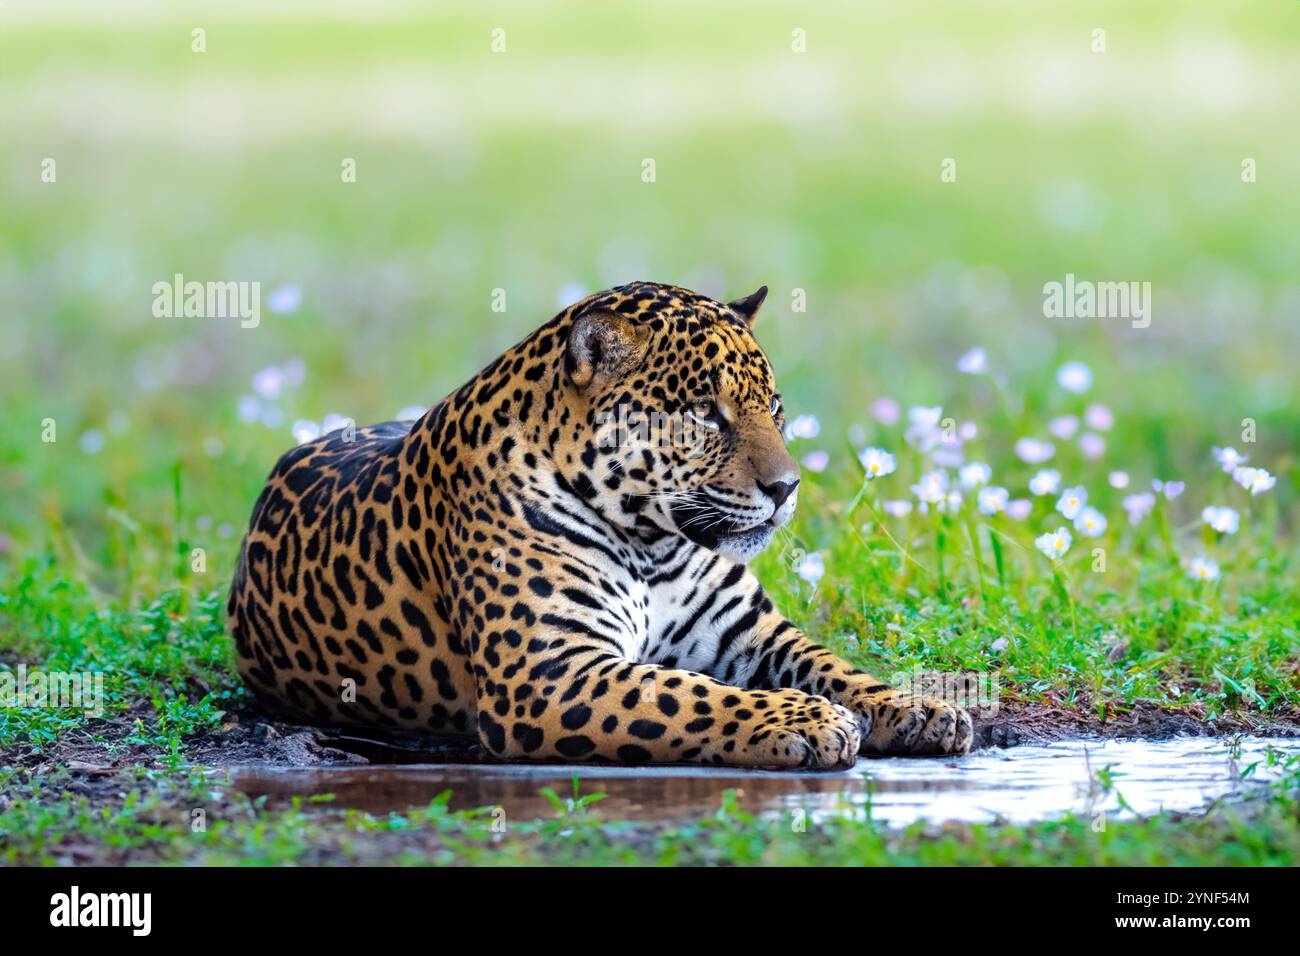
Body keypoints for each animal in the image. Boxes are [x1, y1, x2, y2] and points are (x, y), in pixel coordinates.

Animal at [228, 281, 972, 768]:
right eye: (706, 414)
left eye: (776, 408)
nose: (787, 488)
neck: (652, 543)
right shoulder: (548, 673)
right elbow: (691, 696)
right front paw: (807, 718)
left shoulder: (752, 634)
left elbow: (834, 666)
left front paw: (920, 707)